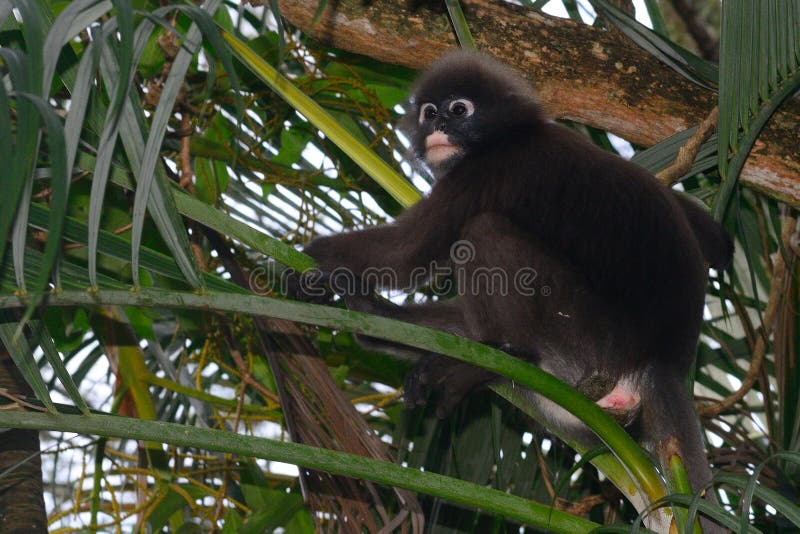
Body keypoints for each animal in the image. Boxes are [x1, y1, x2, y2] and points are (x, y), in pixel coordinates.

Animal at [294, 50, 732, 528]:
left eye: (459, 110)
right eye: (429, 112)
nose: (438, 126)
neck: (507, 136)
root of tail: (662, 363)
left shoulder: (489, 169)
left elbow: (408, 252)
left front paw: (304, 261)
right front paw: (370, 311)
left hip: (587, 339)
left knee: (484, 232)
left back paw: (509, 356)